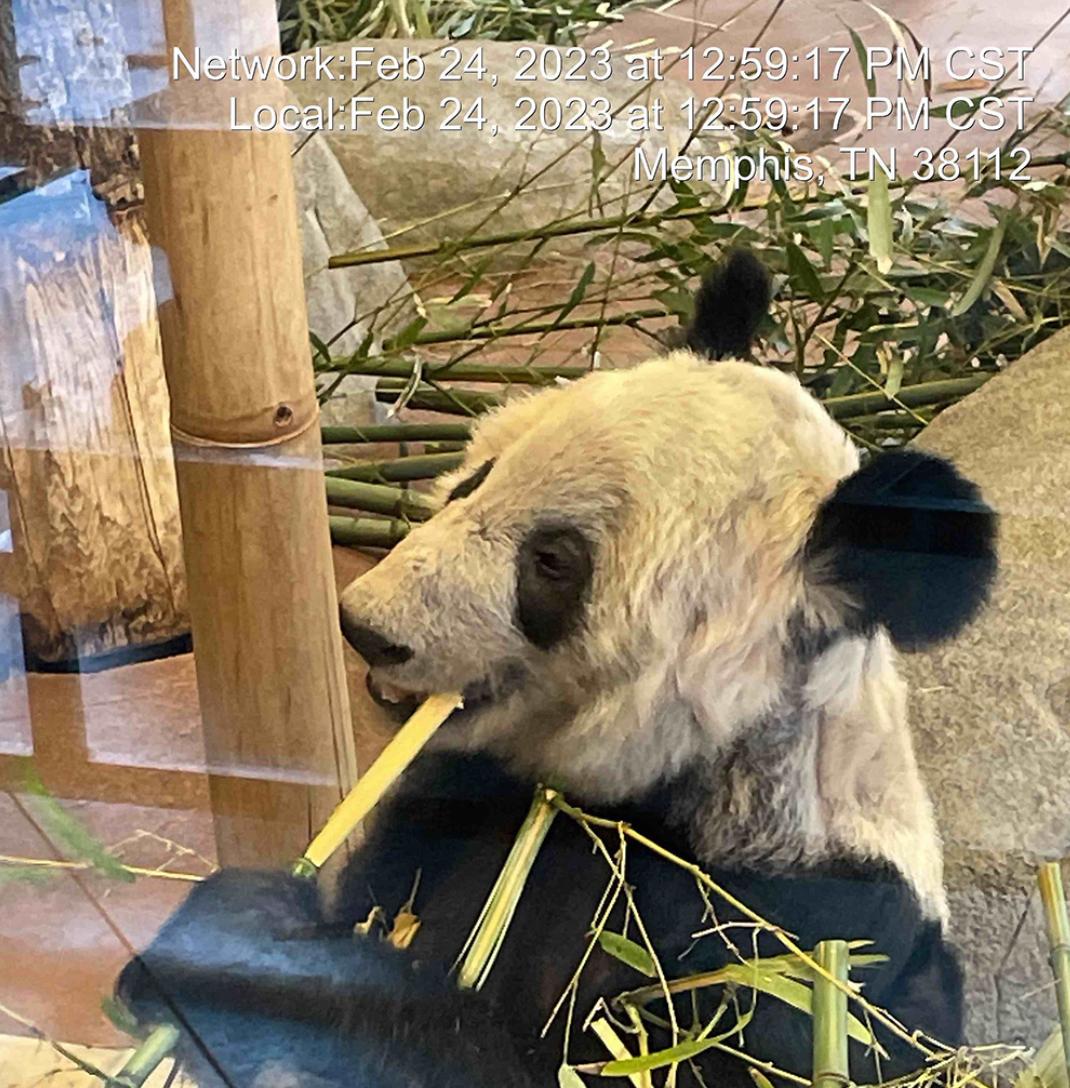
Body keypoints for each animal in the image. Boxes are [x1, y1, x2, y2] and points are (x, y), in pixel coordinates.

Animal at [117, 250, 996, 1088]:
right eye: (473, 482)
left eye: (552, 563)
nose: (367, 629)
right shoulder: (457, 803)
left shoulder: (791, 942)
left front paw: (248, 950)